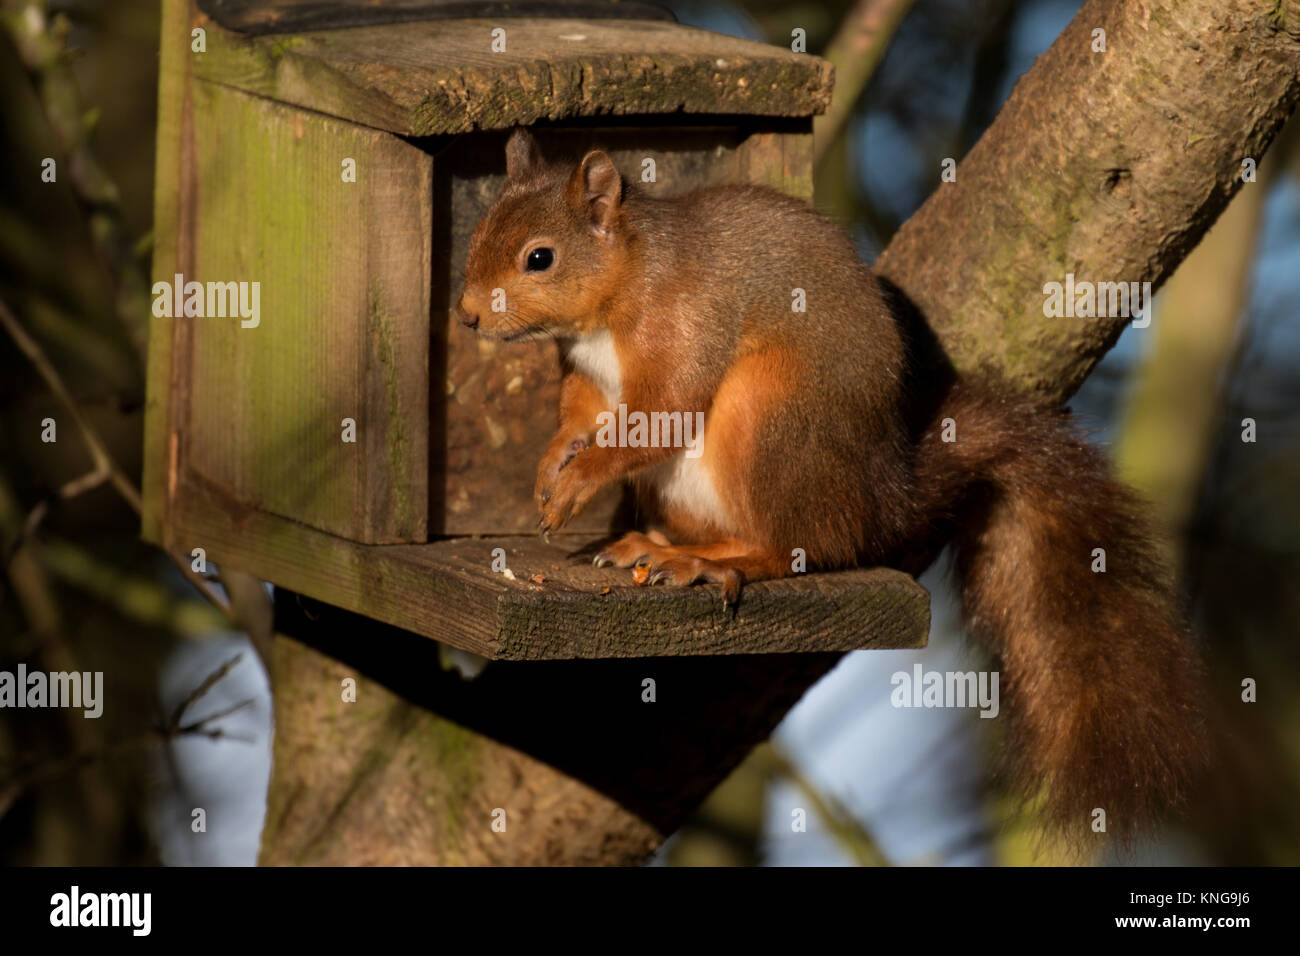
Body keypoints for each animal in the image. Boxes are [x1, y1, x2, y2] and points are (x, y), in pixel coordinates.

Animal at [456, 129, 1206, 844]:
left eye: (540, 258)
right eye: (478, 231)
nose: (465, 316)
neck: (620, 290)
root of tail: (883, 502)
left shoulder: (682, 334)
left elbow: (658, 420)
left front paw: (577, 481)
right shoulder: (589, 378)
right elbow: (579, 419)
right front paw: (551, 467)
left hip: (770, 417)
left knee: (801, 549)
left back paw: (705, 562)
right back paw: (658, 543)